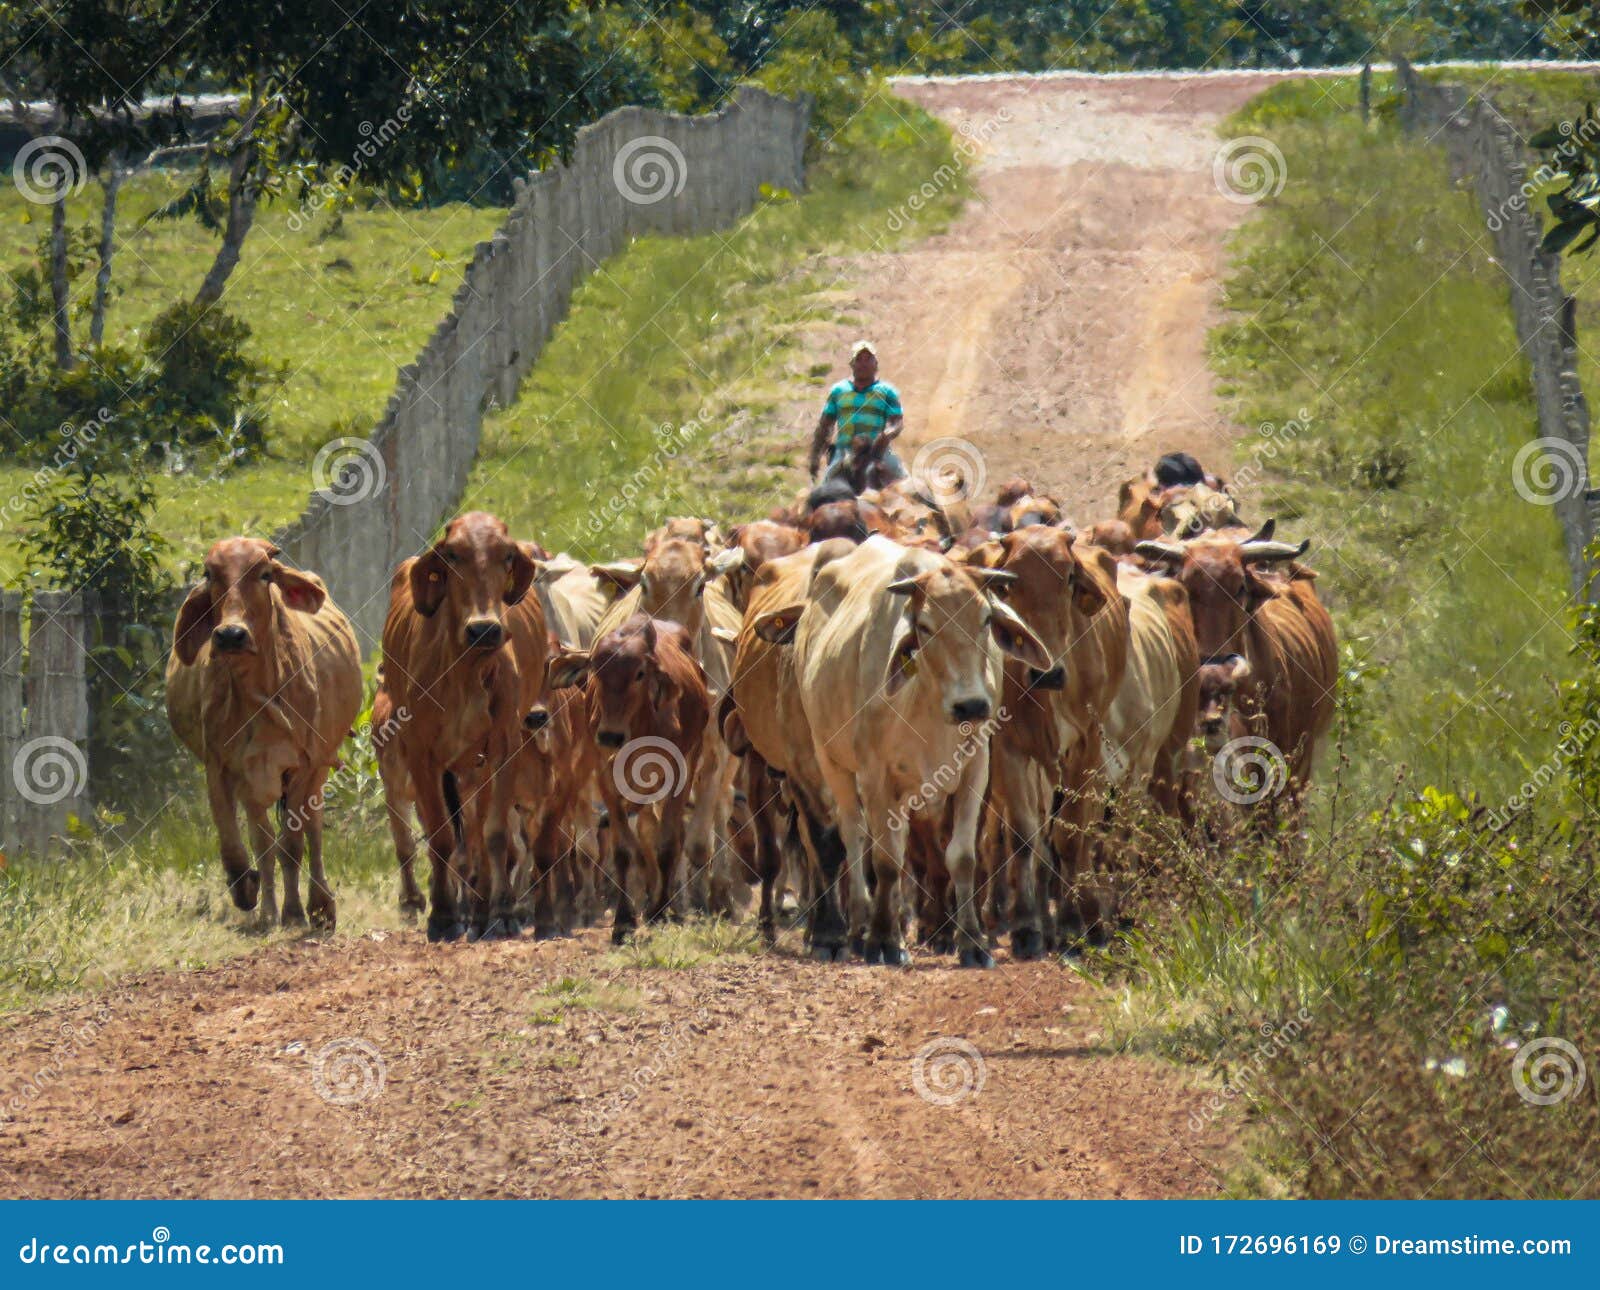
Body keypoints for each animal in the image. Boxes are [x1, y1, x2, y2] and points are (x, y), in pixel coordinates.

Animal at [166, 538, 361, 929]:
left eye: (265, 574)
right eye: (209, 574)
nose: (230, 635)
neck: (256, 695)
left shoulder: (303, 768)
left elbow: (292, 846)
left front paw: (295, 913)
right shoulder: (225, 769)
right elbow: (243, 845)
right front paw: (252, 894)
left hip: (319, 768)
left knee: (314, 831)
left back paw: (320, 905)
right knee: (264, 840)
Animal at [380, 511, 546, 941]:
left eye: (507, 555)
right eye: (452, 555)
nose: (484, 629)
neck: (466, 672)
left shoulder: (503, 747)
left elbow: (495, 834)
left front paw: (501, 911)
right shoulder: (421, 755)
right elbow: (440, 838)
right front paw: (442, 915)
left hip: (476, 768)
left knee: (479, 837)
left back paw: (483, 907)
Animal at [547, 614, 709, 942]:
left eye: (639, 673)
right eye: (596, 669)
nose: (610, 735)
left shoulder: (677, 774)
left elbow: (667, 844)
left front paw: (659, 911)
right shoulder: (607, 777)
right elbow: (624, 849)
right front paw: (623, 921)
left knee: (669, 835)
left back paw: (667, 906)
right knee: (645, 833)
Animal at [758, 536, 1050, 966]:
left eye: (984, 619)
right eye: (925, 626)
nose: (971, 705)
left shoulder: (976, 766)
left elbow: (961, 856)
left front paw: (972, 942)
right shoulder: (874, 775)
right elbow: (886, 860)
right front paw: (883, 940)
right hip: (831, 763)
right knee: (852, 839)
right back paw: (854, 930)